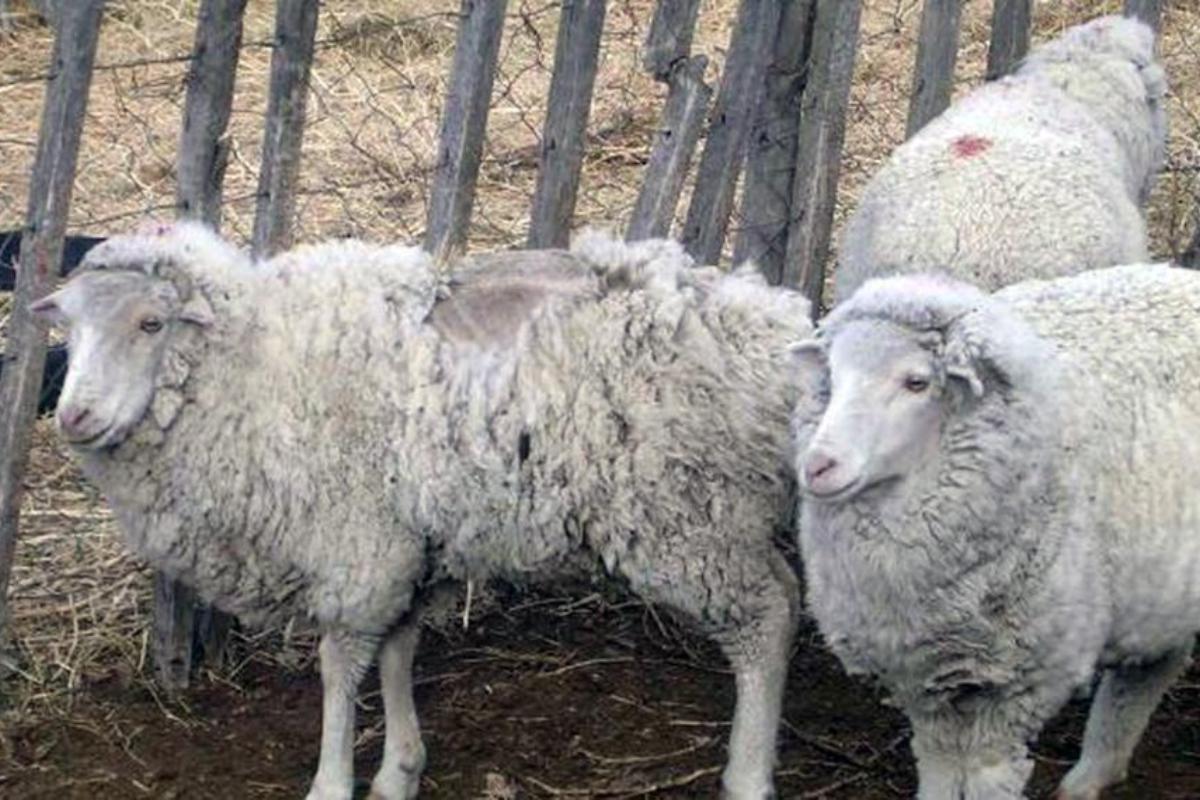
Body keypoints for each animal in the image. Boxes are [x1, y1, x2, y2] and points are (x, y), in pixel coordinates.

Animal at [30, 222, 812, 800]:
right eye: (68, 325)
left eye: (151, 322)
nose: (75, 418)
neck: (255, 362)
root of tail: (773, 328)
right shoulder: (404, 540)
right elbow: (397, 652)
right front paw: (400, 768)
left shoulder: (356, 543)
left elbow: (340, 667)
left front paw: (332, 781)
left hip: (688, 515)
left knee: (769, 615)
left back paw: (748, 775)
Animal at [790, 264, 1200, 799]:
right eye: (833, 377)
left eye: (917, 382)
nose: (818, 466)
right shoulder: (926, 671)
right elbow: (940, 765)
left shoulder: (1019, 680)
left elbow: (988, 774)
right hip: (1161, 591)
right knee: (1150, 671)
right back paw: (1092, 774)